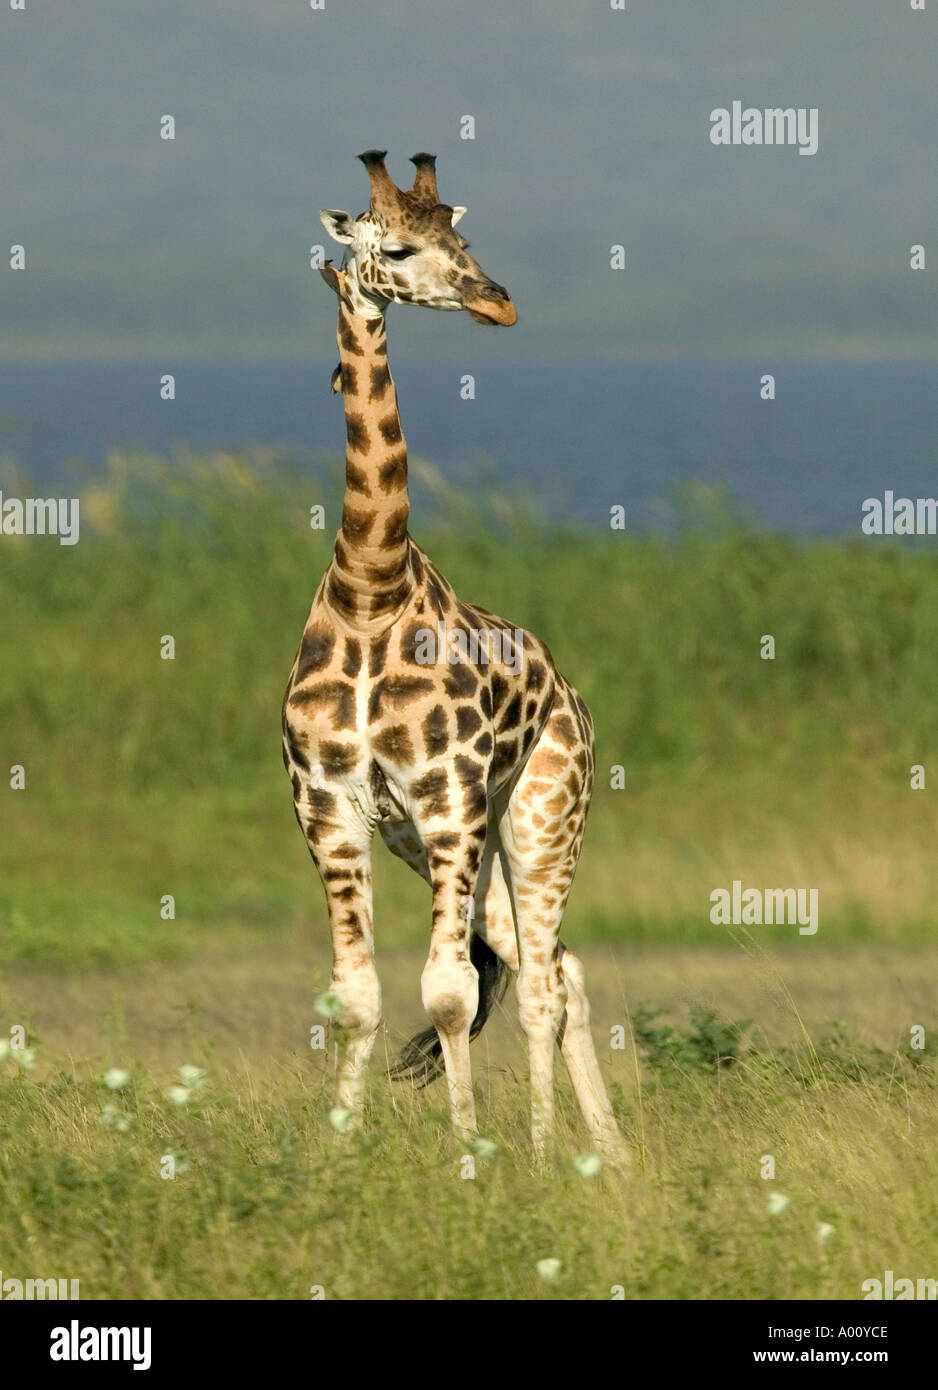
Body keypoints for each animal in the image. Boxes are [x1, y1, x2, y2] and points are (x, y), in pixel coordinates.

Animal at [283, 150, 627, 1165]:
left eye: (463, 239)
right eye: (396, 248)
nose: (498, 301)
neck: (368, 590)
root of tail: (572, 695)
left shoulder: (448, 799)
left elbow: (446, 993)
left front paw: (469, 1159)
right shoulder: (330, 809)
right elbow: (357, 996)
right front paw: (337, 1154)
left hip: (540, 815)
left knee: (543, 982)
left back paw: (558, 1155)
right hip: (455, 844)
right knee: (559, 966)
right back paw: (610, 1155)